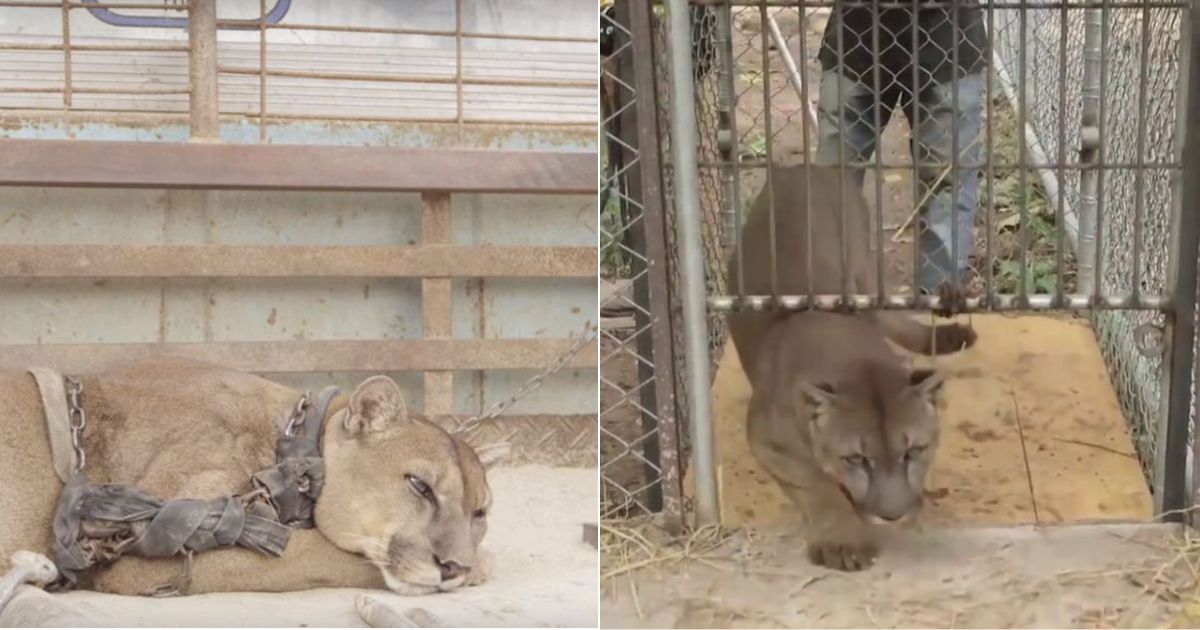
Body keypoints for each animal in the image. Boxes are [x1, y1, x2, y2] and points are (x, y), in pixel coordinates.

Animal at [0, 356, 509, 597]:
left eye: (480, 512)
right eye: (420, 486)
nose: (454, 566)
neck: (291, 441)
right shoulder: (148, 553)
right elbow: (316, 554)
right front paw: (481, 566)